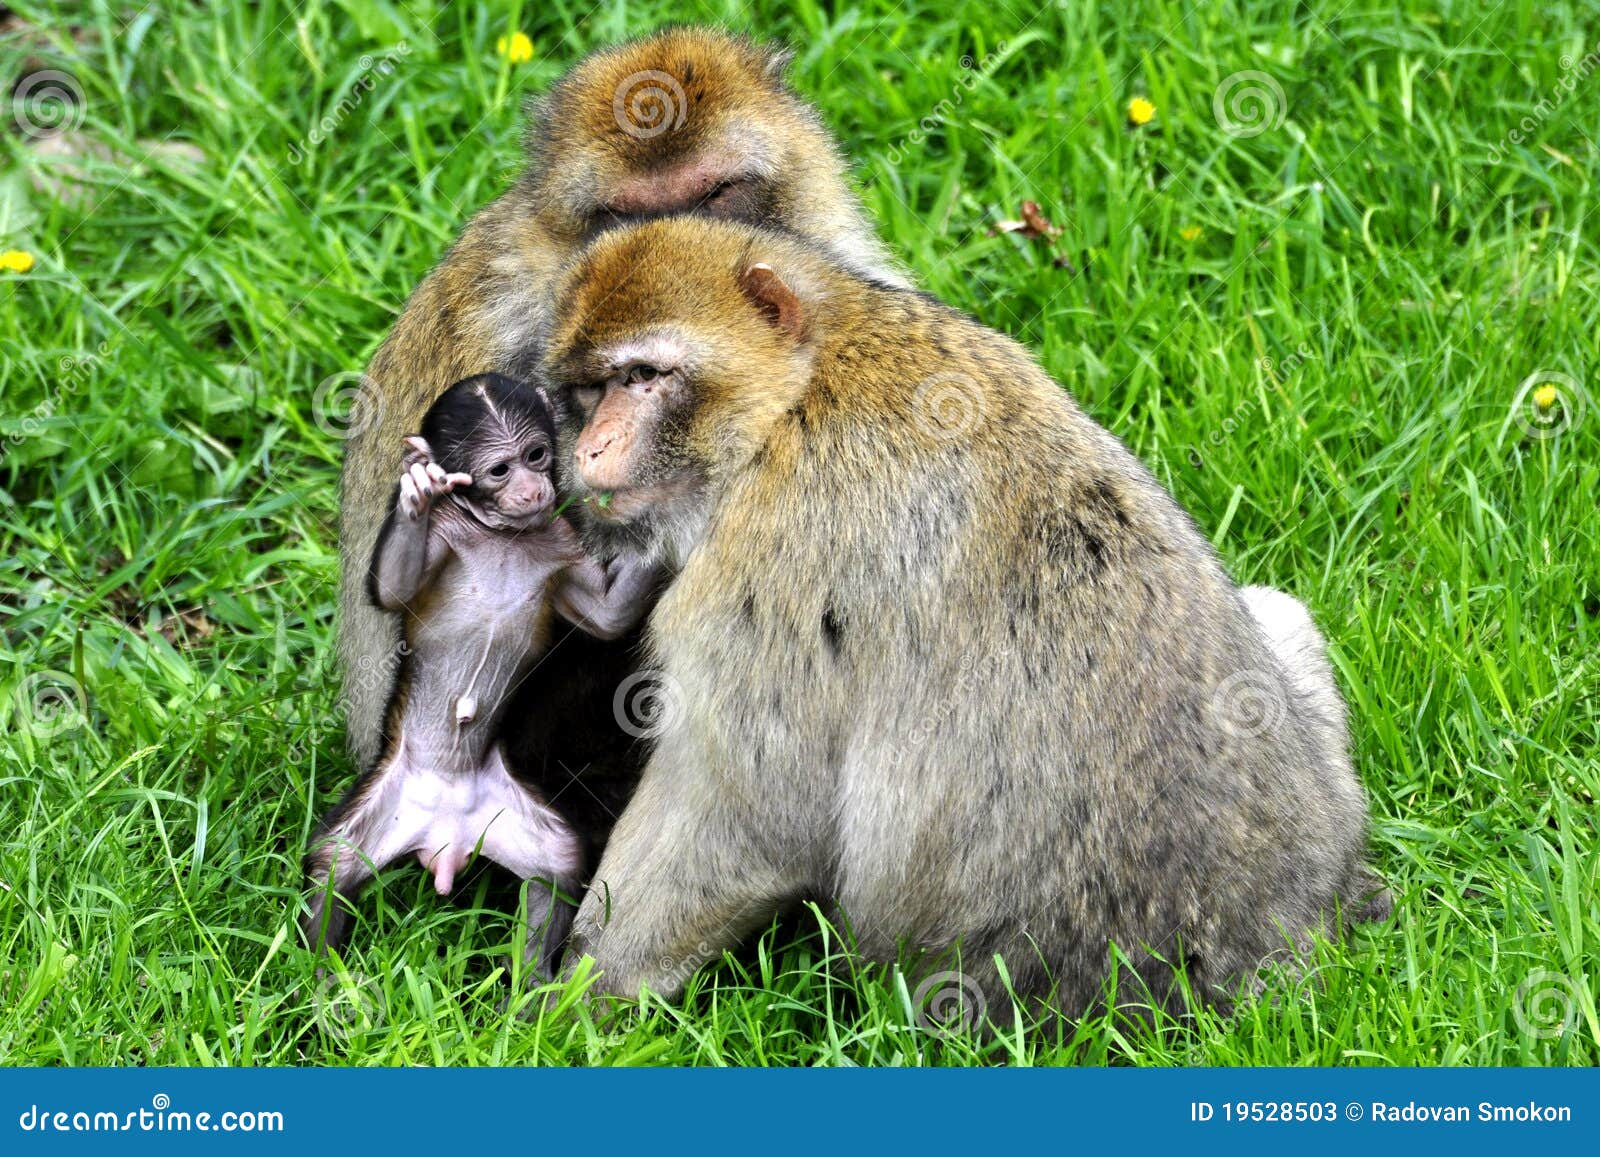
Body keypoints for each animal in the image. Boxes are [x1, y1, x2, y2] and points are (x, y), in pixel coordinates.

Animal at [304, 374, 658, 977]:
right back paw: (325, 987)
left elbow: (607, 620)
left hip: (505, 810)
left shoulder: (559, 539)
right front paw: (416, 492)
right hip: (388, 798)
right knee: (332, 864)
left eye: (536, 456)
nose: (533, 488)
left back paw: (534, 984)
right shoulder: (447, 533)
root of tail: (445, 839)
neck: (501, 535)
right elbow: (390, 591)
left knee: (559, 862)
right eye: (499, 470)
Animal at [538, 216, 1390, 1019]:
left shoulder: (771, 558)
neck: (797, 394)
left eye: (643, 376)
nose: (589, 449)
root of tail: (1273, 945)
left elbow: (751, 818)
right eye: (589, 390)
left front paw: (569, 1004)